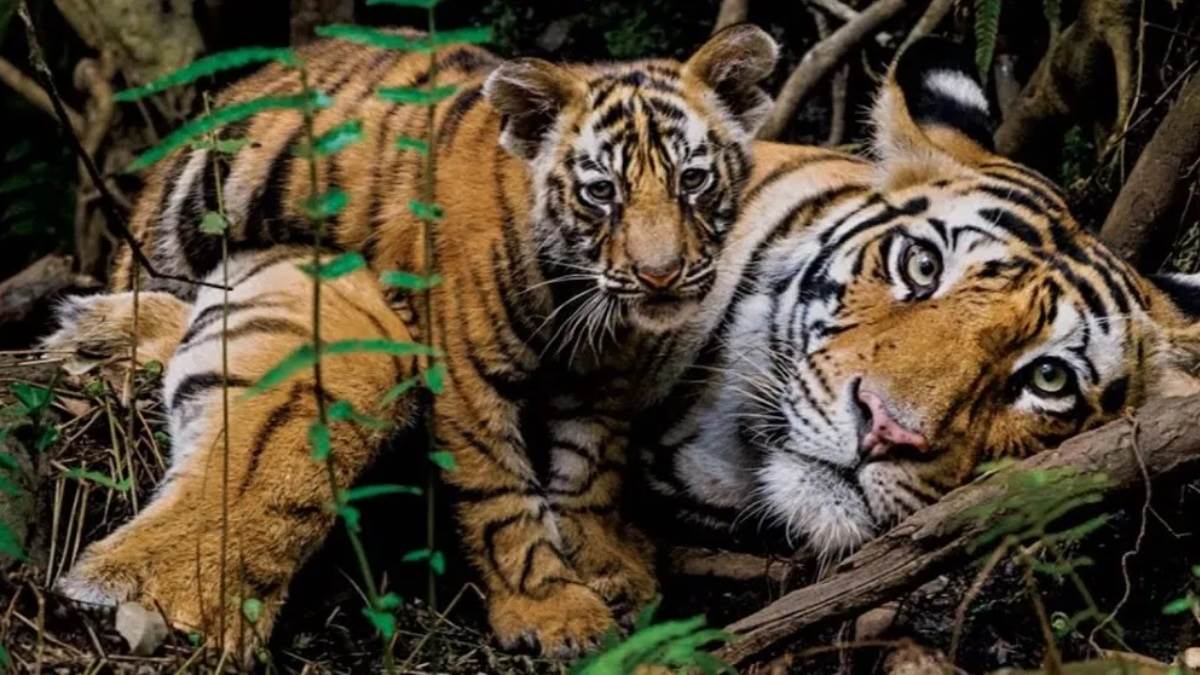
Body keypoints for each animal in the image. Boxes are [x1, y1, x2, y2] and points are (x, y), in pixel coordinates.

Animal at [41, 25, 781, 657]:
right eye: (602, 192)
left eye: (693, 179)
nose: (660, 275)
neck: (582, 298)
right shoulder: (468, 375)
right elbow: (500, 497)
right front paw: (553, 612)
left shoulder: (600, 381)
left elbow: (591, 470)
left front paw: (607, 564)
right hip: (178, 232)